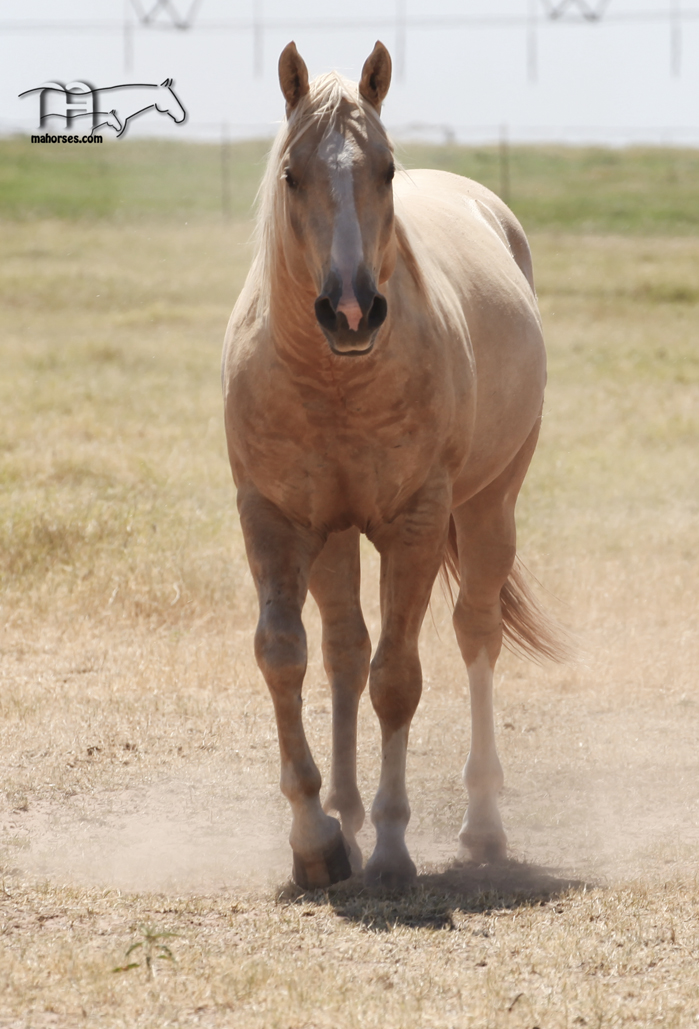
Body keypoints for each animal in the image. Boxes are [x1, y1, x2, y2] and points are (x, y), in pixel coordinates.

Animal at [222, 41, 567, 890]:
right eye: (291, 175)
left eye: (384, 169)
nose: (350, 311)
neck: (332, 380)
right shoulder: (274, 515)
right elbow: (285, 654)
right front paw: (316, 837)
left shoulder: (413, 523)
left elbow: (398, 677)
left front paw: (388, 845)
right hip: (337, 533)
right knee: (343, 647)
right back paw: (344, 809)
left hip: (487, 507)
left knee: (474, 633)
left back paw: (482, 826)